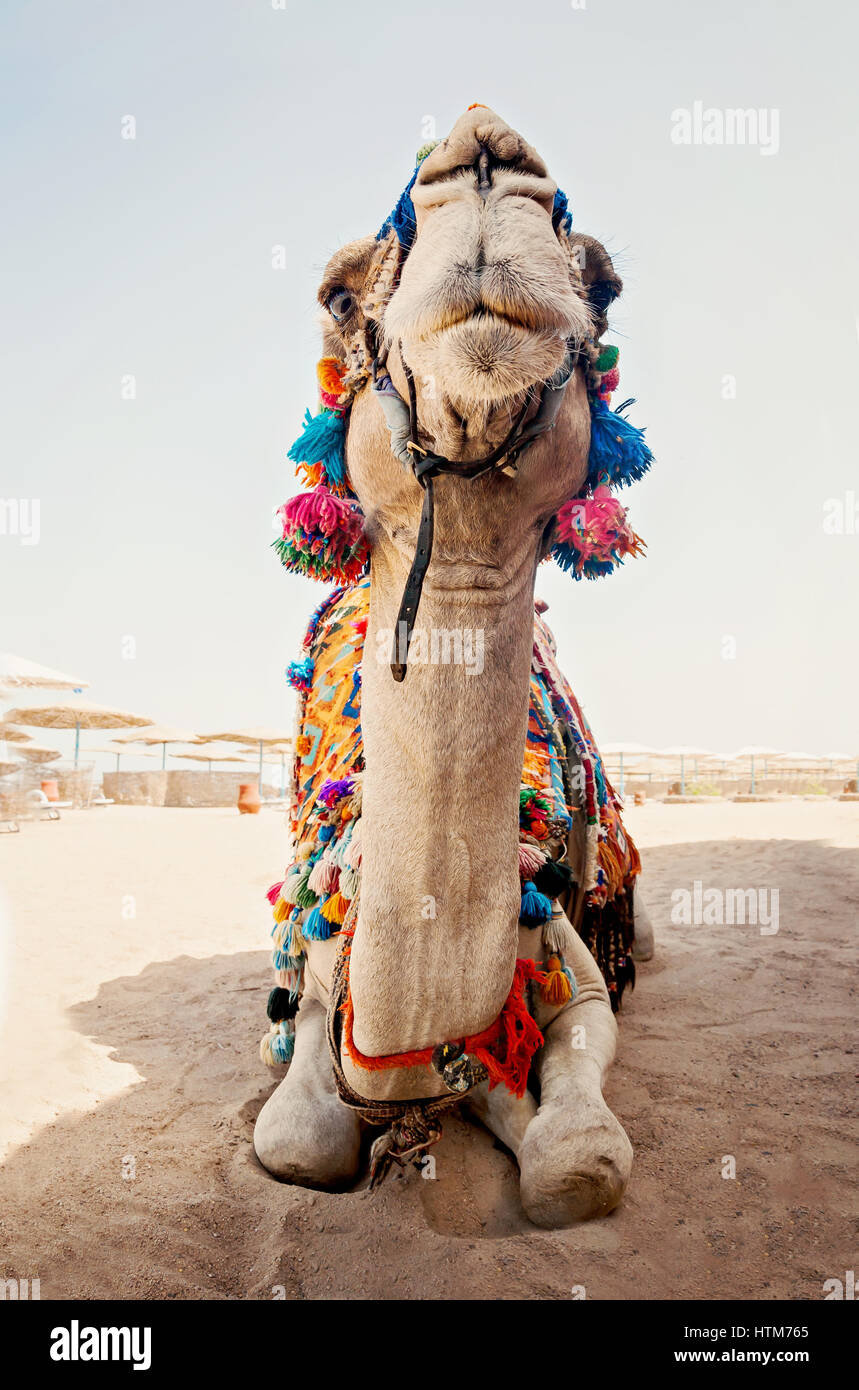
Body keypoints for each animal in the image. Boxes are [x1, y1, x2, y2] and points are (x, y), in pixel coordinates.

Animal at [254, 106, 654, 1227]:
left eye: (604, 283)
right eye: (338, 293)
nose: (484, 148)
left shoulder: (570, 971)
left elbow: (578, 1162)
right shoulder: (317, 977)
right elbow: (300, 1142)